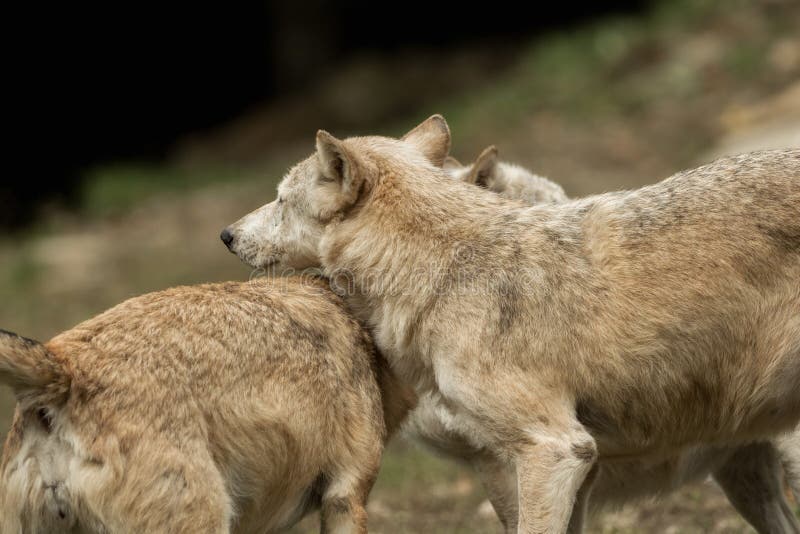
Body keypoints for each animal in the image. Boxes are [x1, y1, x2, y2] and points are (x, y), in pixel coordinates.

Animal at [222, 116, 800, 533]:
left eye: (280, 201)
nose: (226, 235)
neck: (443, 272)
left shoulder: (553, 452)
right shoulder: (575, 468)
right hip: (747, 471)